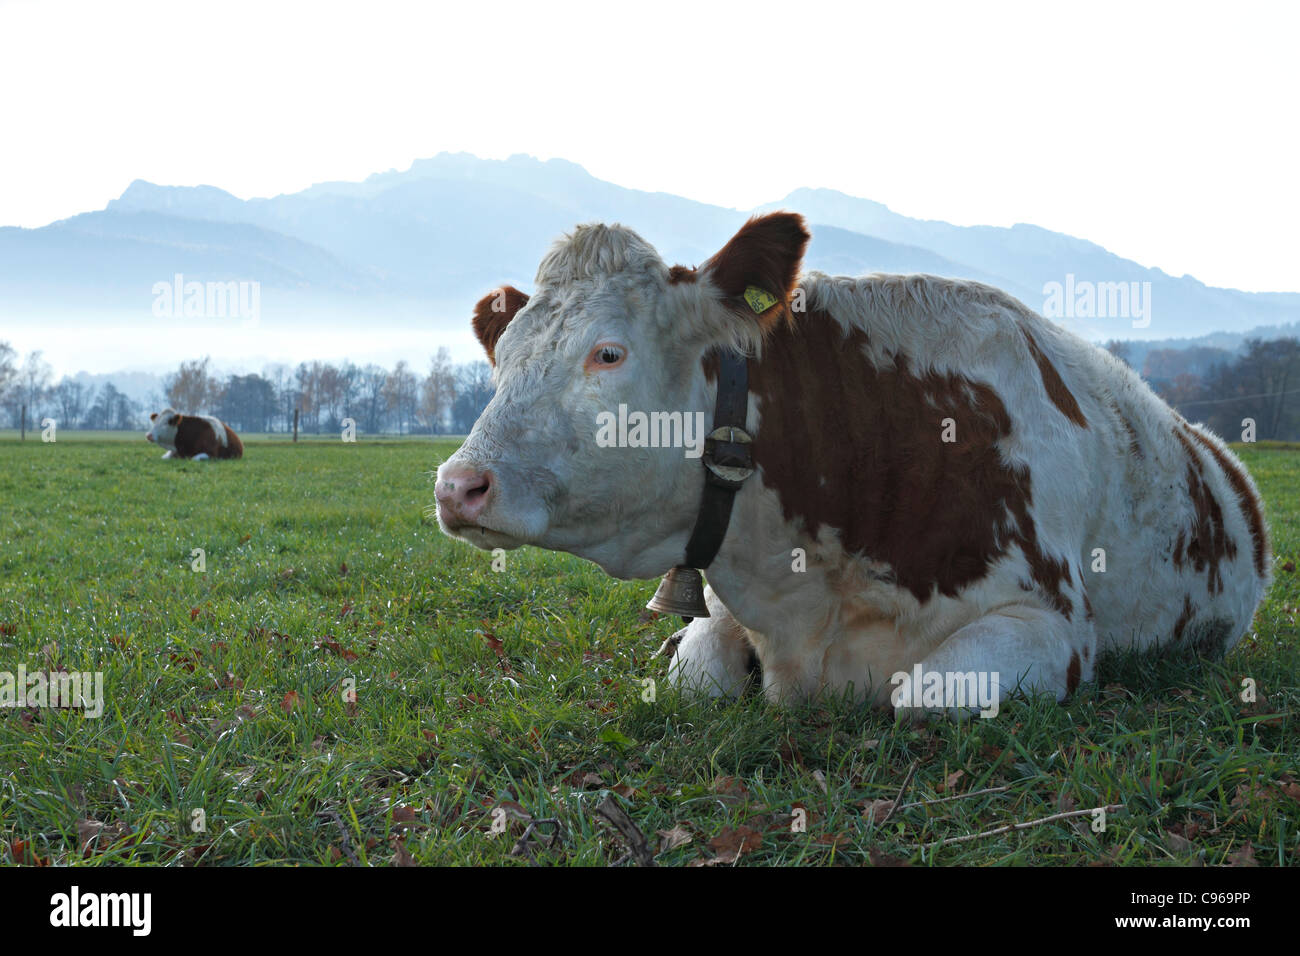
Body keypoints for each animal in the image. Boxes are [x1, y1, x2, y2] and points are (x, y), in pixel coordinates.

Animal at [435, 213, 1271, 716]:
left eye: (608, 353)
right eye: (504, 356)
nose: (457, 486)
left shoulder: (1054, 626)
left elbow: (922, 695)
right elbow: (694, 676)